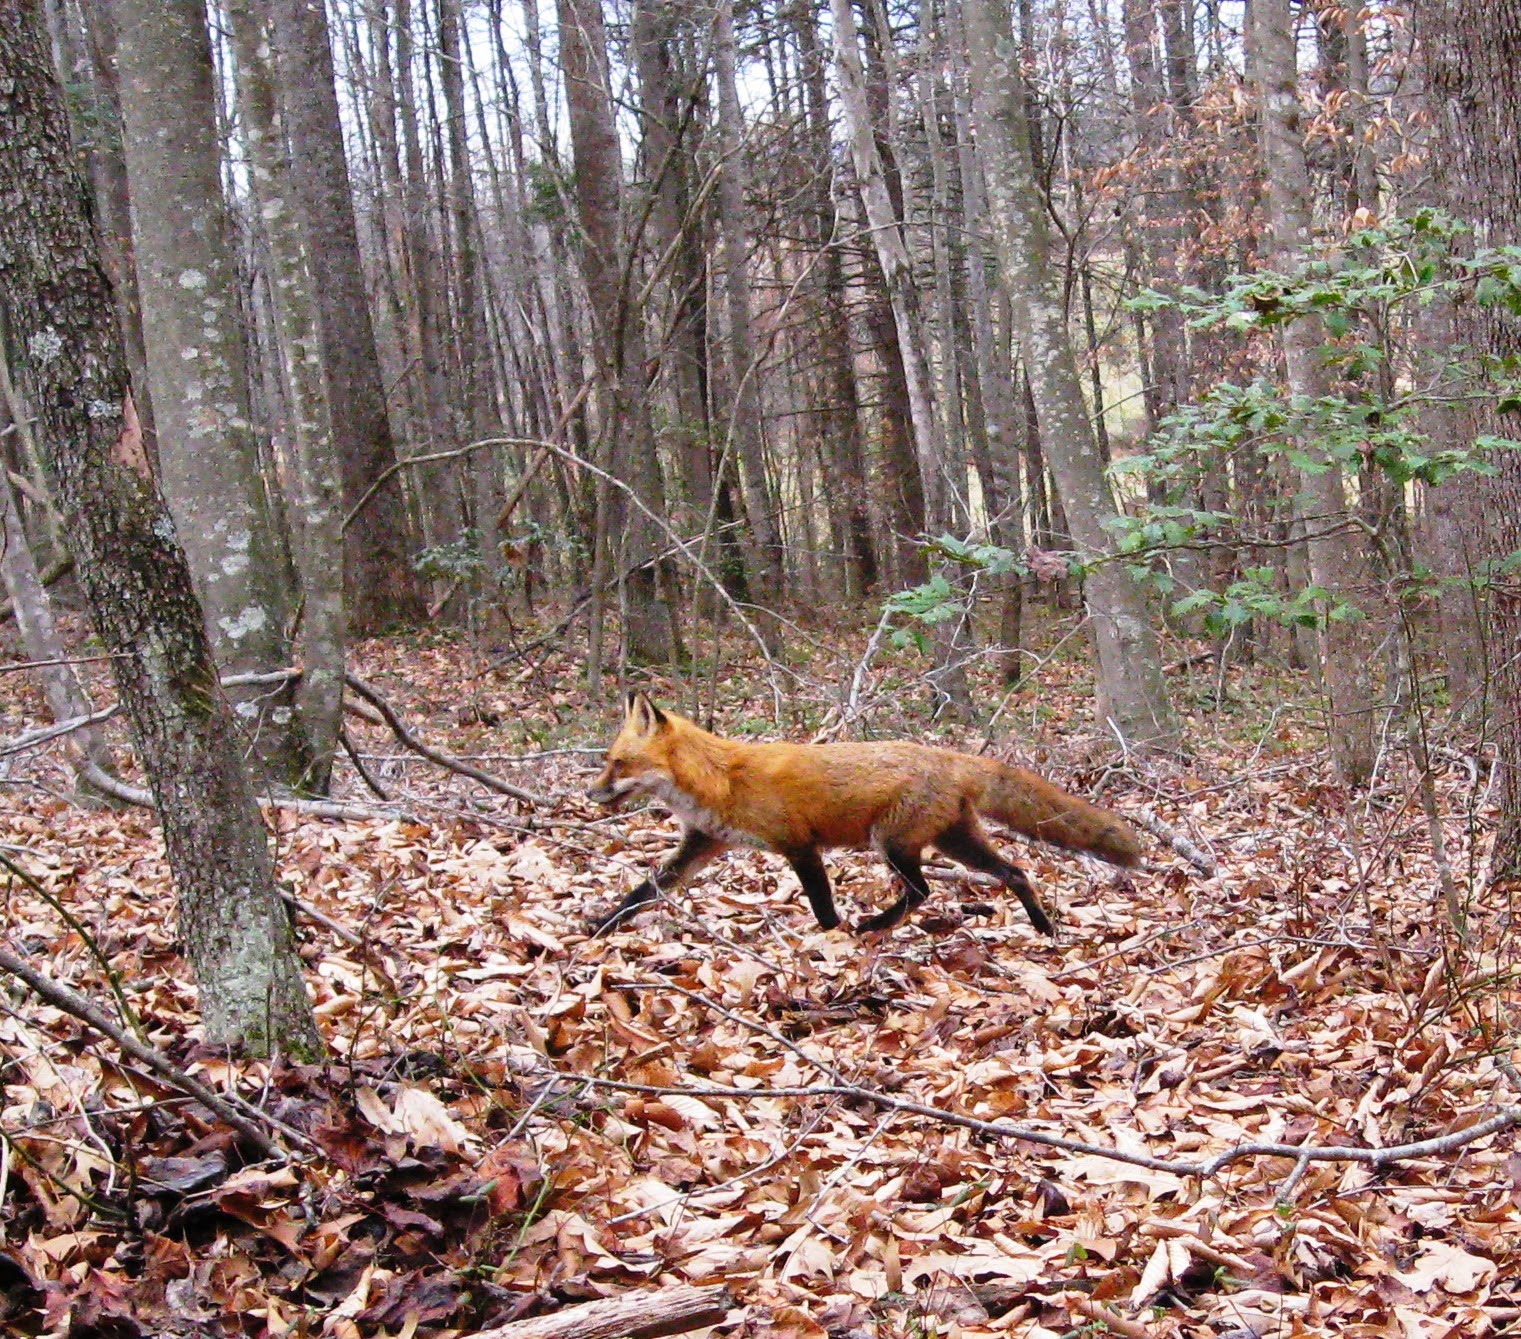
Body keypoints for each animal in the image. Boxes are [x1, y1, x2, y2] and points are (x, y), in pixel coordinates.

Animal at [585, 691, 1143, 938]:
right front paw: (598, 928)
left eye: (617, 764)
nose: (592, 794)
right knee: (1016, 872)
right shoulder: (700, 844)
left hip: (892, 843)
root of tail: (954, 757)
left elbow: (821, 905)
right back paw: (1044, 928)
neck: (721, 782)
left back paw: (874, 924)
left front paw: (833, 937)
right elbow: (641, 893)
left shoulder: (799, 845)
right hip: (954, 842)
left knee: (923, 890)